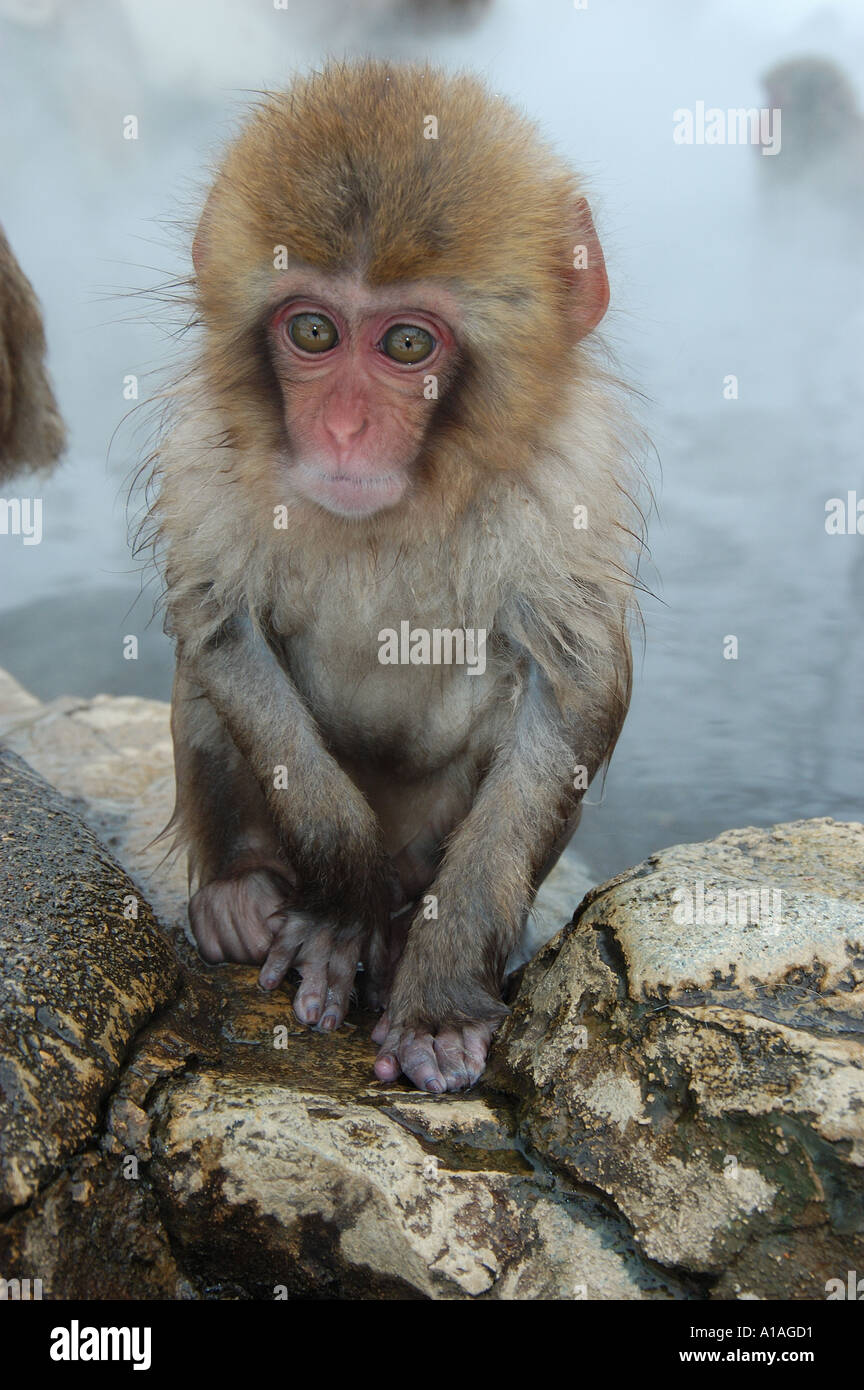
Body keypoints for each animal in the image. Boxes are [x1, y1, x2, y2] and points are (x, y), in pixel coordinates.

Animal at [148, 60, 642, 1093]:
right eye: (312, 330)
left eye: (407, 345)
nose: (340, 430)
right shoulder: (207, 452)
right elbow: (219, 622)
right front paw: (341, 908)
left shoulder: (562, 484)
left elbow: (569, 690)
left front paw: (441, 994)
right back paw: (243, 890)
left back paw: (410, 911)